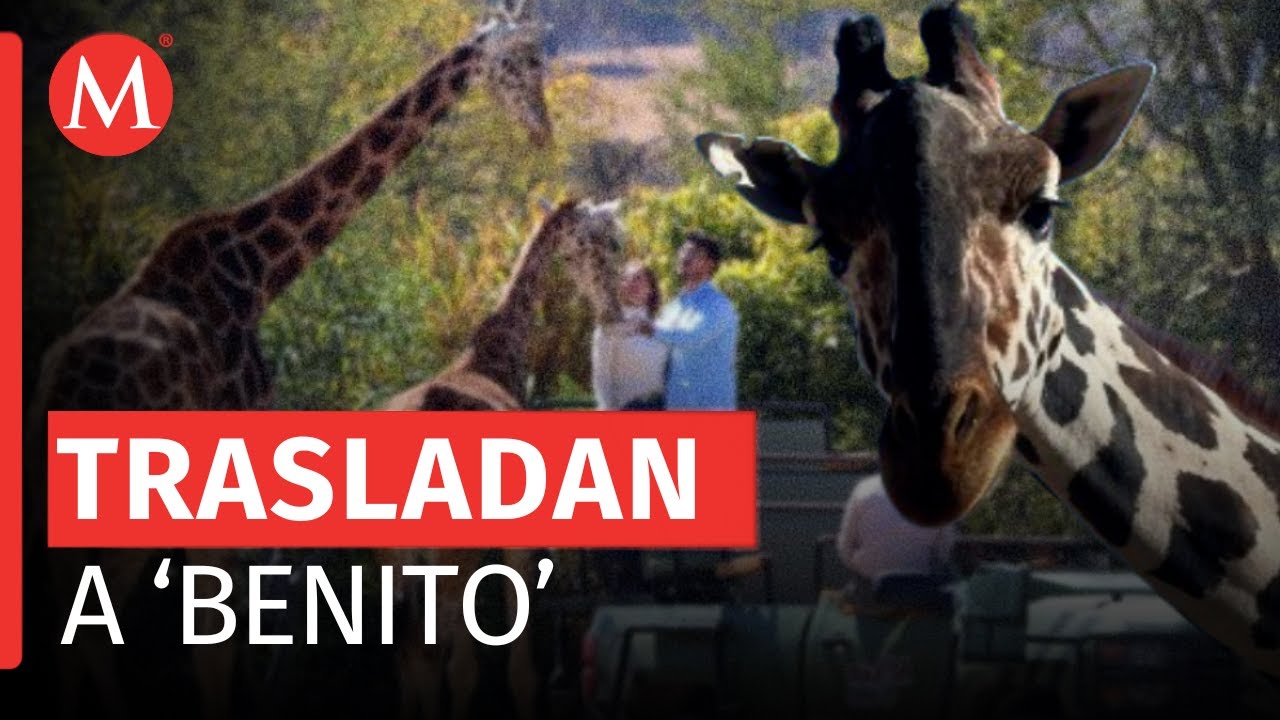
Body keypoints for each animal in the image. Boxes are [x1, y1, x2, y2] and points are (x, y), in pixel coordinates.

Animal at [378, 197, 624, 720]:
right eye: (611, 241)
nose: (613, 309)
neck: (494, 359)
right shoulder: (516, 539)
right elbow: (513, 668)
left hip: (392, 555)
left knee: (408, 654)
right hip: (448, 550)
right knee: (431, 652)